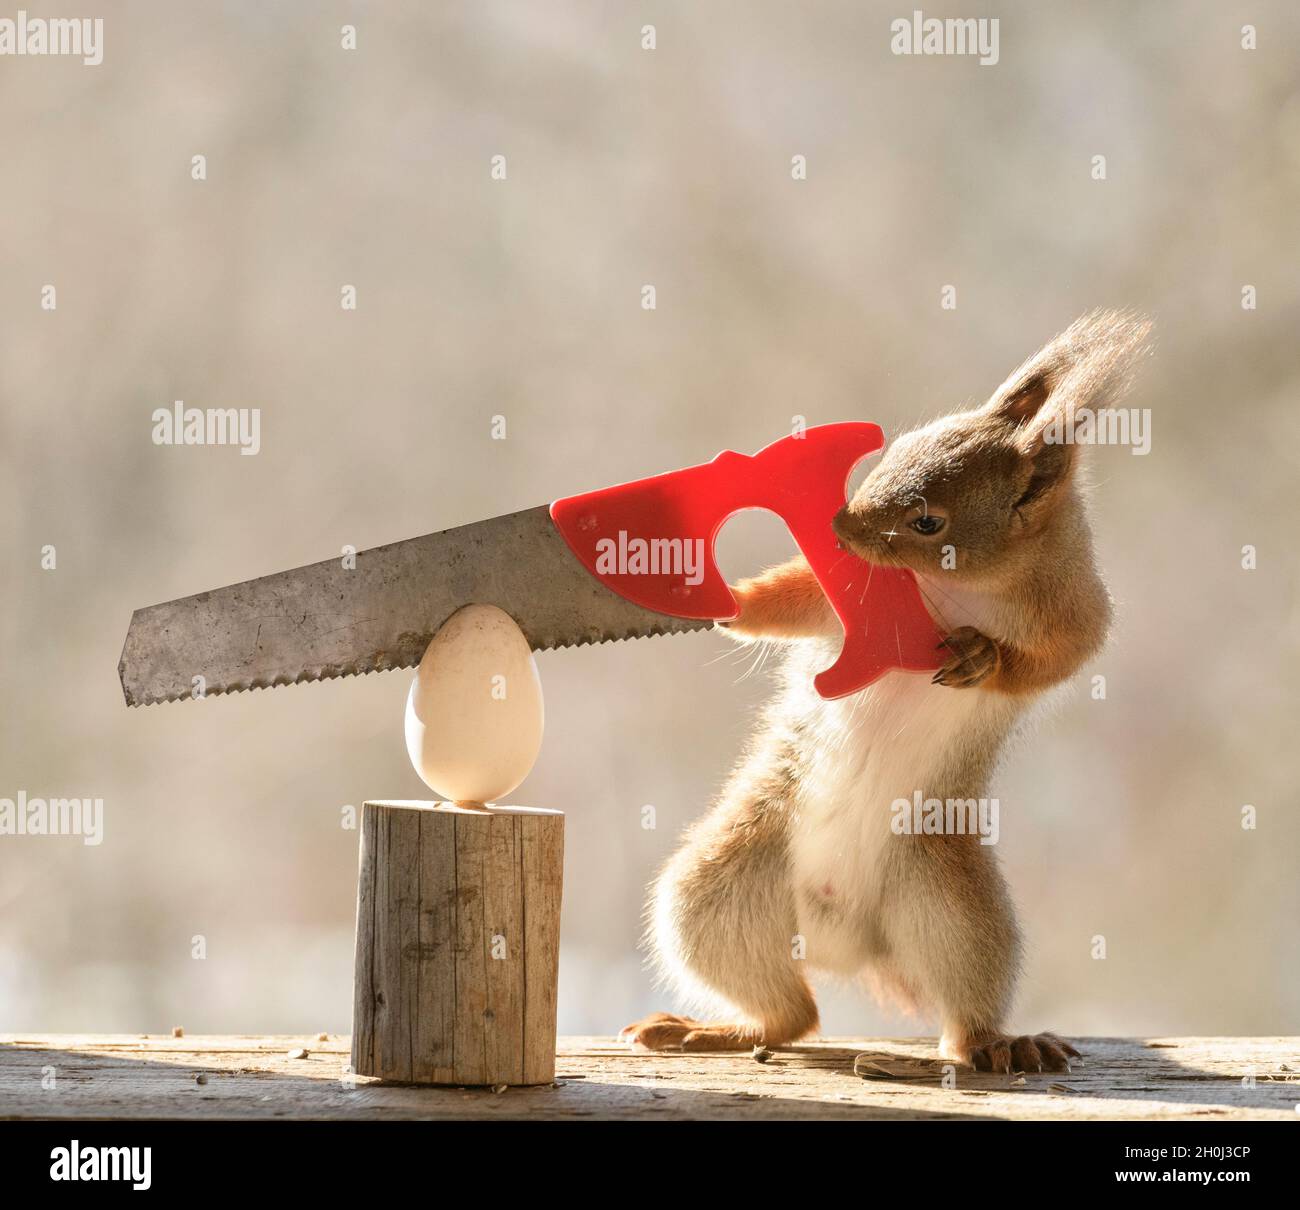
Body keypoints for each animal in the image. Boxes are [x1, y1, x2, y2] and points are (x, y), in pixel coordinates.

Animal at [622, 310, 1151, 1073]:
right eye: (894, 448)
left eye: (930, 521)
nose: (841, 530)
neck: (962, 588)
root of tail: (844, 944)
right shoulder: (850, 602)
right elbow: (795, 599)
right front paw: (726, 599)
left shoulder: (1073, 610)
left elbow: (1054, 659)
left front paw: (984, 657)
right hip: (719, 891)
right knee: (789, 1014)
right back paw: (711, 1030)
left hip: (951, 905)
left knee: (952, 1010)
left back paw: (1001, 1045)